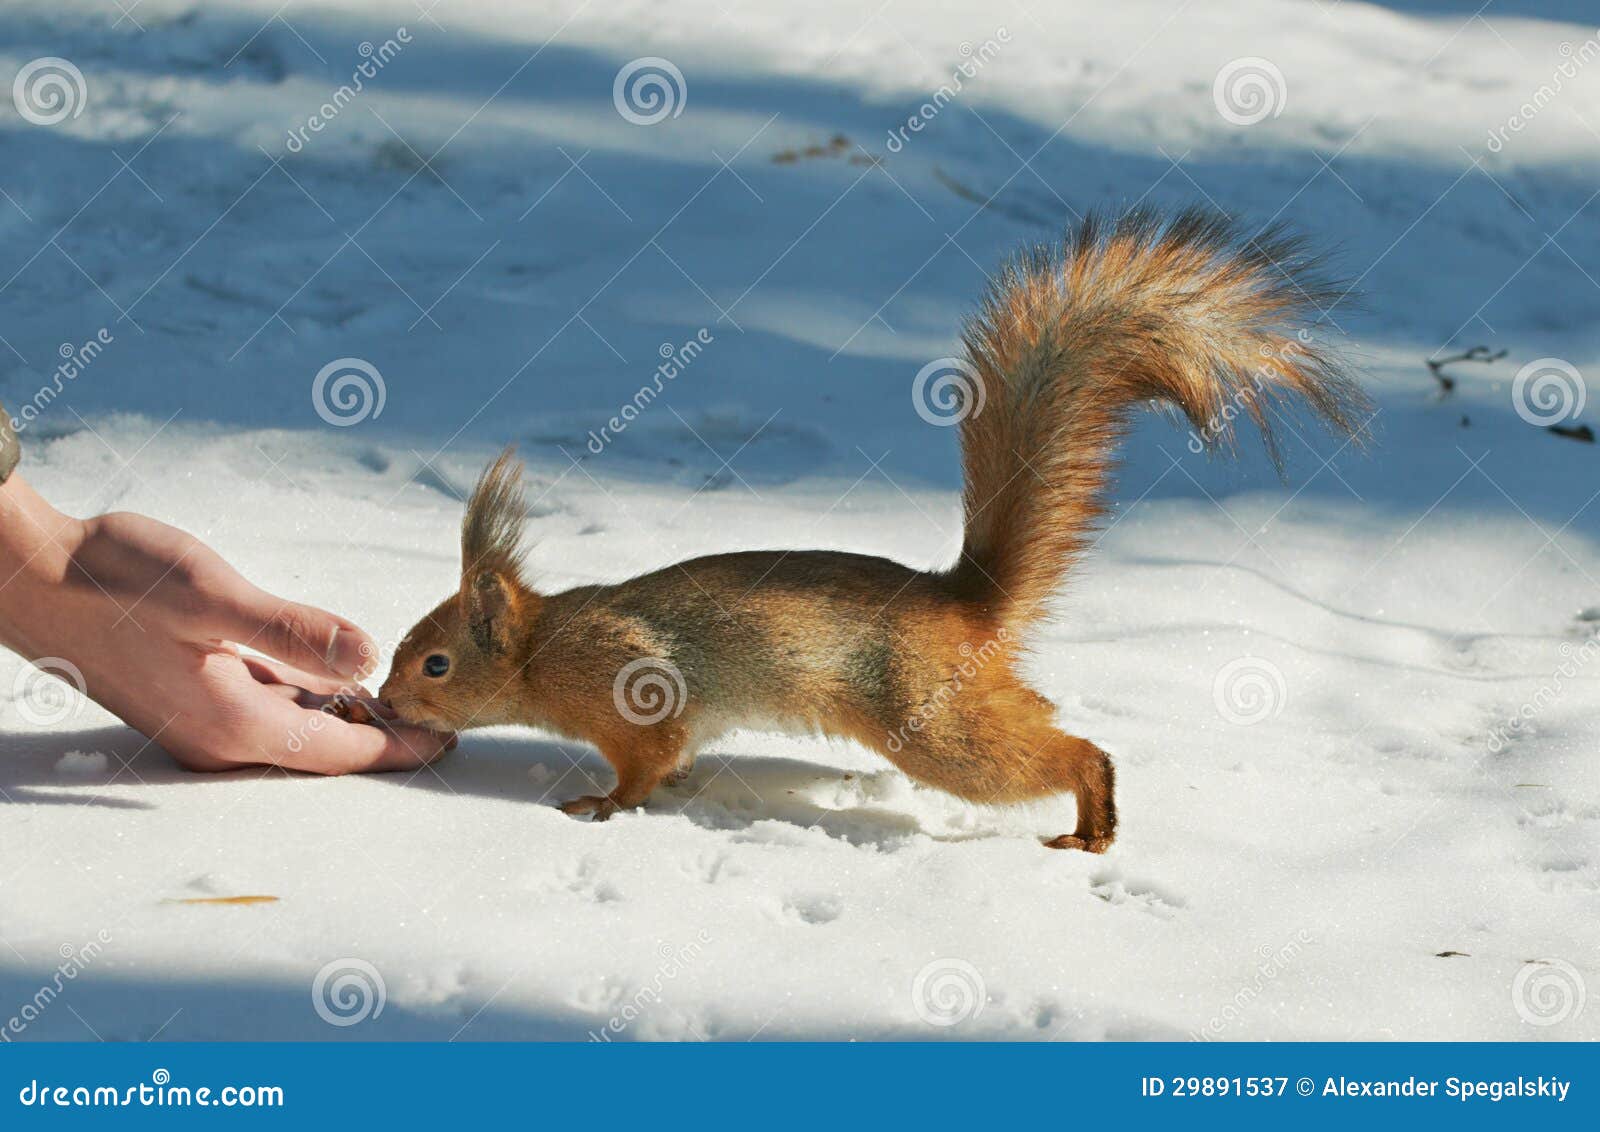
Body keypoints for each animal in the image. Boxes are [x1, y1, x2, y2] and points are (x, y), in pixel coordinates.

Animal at [378, 207, 1369, 852]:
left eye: (436, 664)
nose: (384, 704)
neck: (544, 651)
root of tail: (964, 605)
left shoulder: (630, 689)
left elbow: (644, 764)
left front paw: (603, 807)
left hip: (931, 722)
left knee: (1063, 751)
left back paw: (1092, 821)